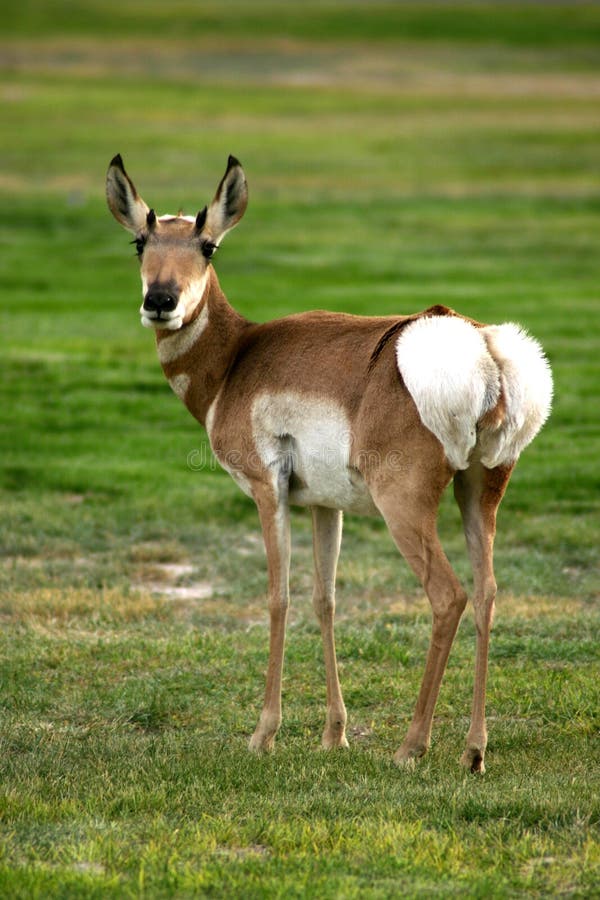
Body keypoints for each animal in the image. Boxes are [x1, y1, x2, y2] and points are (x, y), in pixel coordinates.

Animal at [106, 153, 553, 772]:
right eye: (139, 241)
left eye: (207, 245)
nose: (161, 301)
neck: (238, 357)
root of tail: (477, 346)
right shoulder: (323, 505)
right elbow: (325, 600)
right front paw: (334, 734)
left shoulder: (267, 491)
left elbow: (279, 597)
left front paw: (263, 734)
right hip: (479, 495)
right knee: (486, 593)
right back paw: (473, 750)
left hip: (405, 508)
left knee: (449, 596)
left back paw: (411, 746)